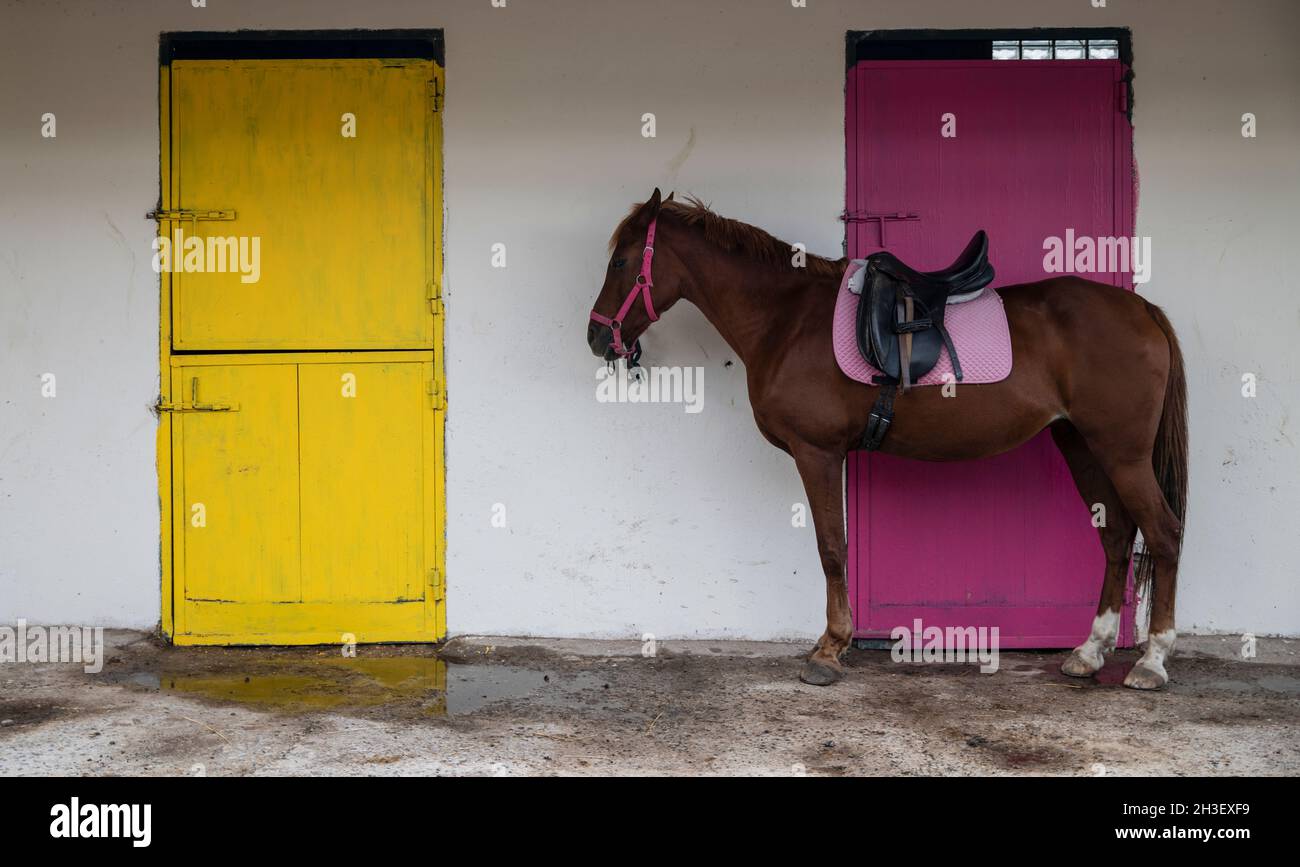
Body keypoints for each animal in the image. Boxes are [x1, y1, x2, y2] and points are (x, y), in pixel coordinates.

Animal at [586, 189, 1188, 690]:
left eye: (620, 262)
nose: (596, 336)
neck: (786, 318)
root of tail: (1141, 309)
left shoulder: (818, 453)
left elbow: (832, 547)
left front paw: (830, 650)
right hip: (1081, 445)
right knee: (1117, 537)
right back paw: (1089, 652)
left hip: (1123, 453)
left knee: (1163, 533)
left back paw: (1152, 662)